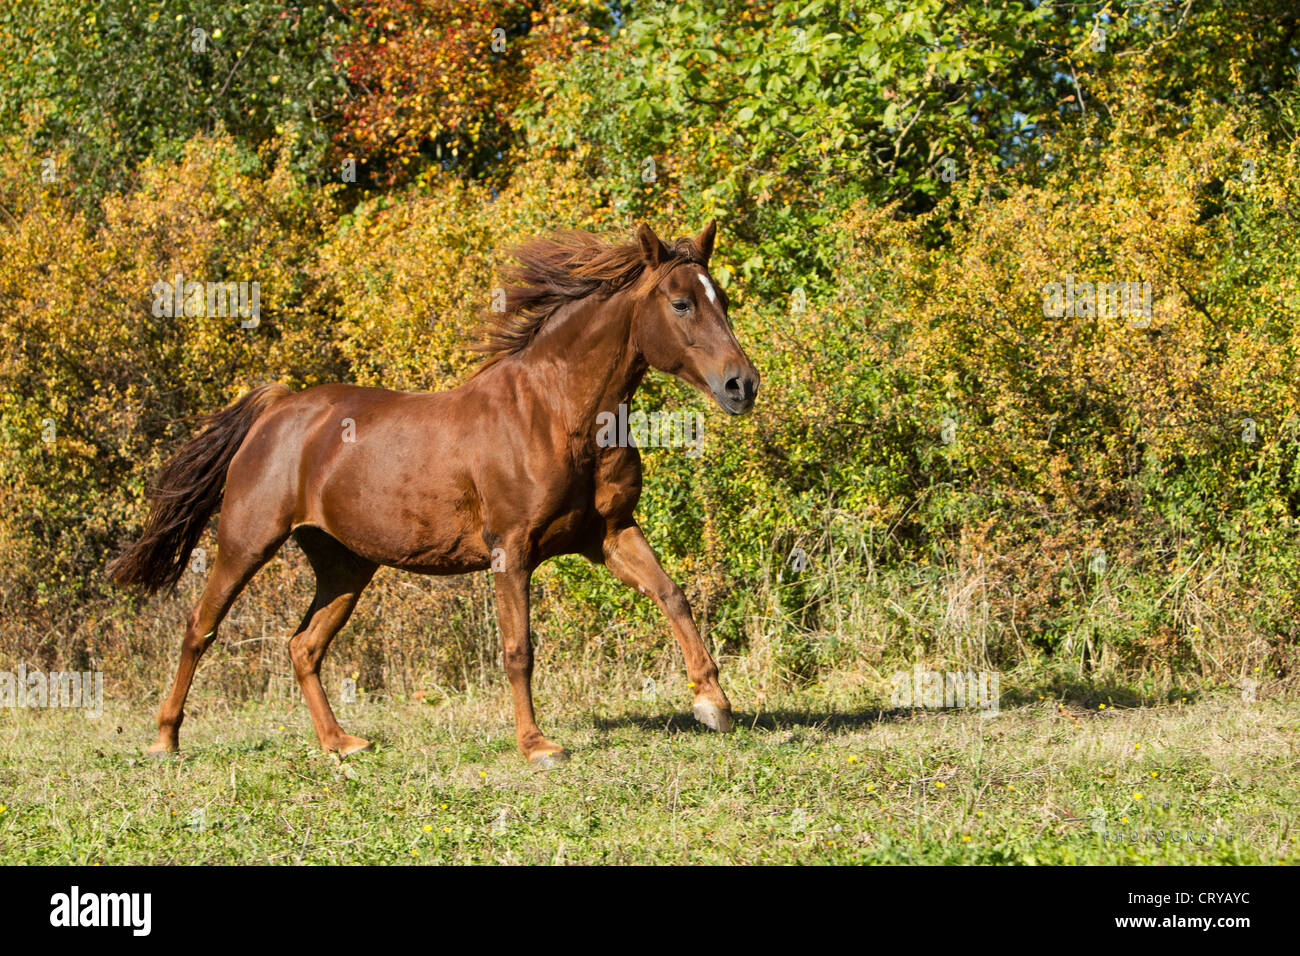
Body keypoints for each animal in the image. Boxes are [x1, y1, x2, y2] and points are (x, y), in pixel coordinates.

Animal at [109, 220, 760, 766]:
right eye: (681, 302)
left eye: (721, 299)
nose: (742, 385)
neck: (556, 413)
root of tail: (277, 408)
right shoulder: (511, 548)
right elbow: (518, 648)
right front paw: (536, 746)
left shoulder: (610, 534)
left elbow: (673, 596)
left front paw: (713, 704)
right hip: (246, 543)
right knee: (200, 627)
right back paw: (165, 740)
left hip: (346, 564)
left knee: (303, 646)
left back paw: (341, 743)